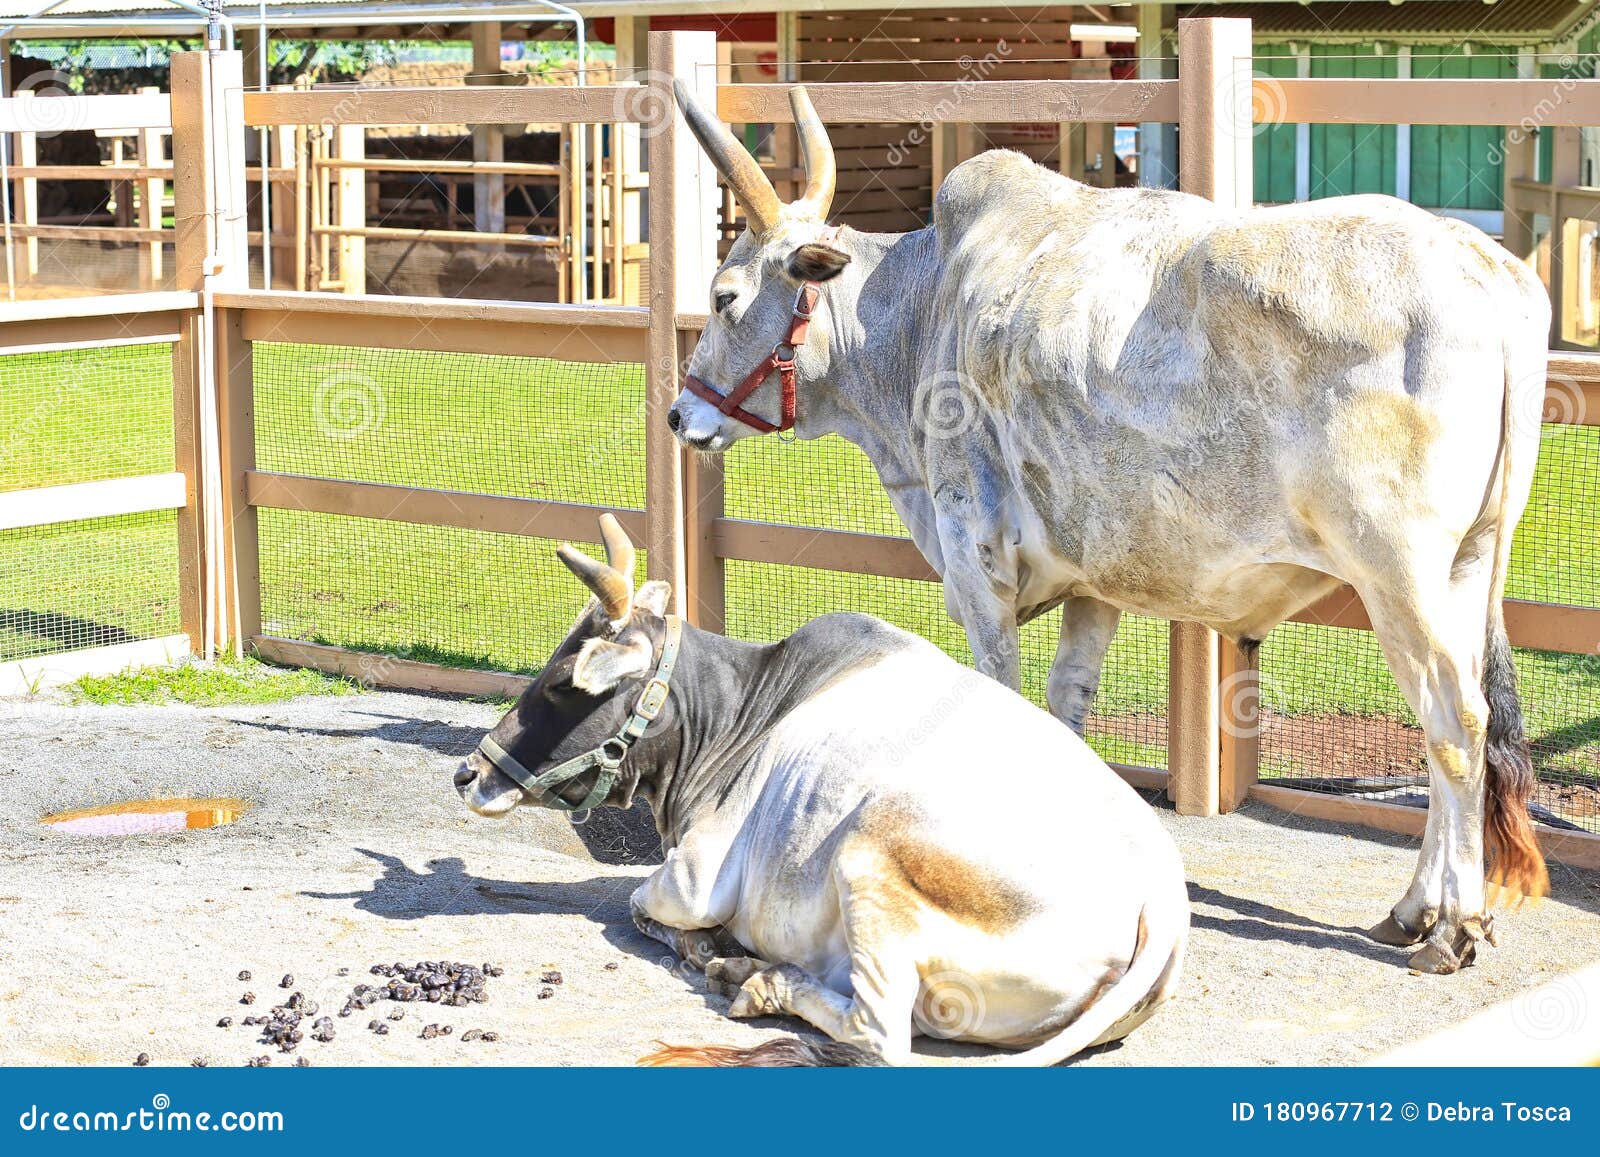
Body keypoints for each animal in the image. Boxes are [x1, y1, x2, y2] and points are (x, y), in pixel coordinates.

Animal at [454, 514, 1189, 1066]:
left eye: (562, 681)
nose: (468, 774)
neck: (739, 715)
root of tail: (1159, 897)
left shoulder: (694, 880)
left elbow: (639, 906)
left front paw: (710, 948)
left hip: (871, 855)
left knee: (878, 1035)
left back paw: (760, 980)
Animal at [664, 84, 1552, 975]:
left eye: (725, 296)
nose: (679, 413)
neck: (922, 312)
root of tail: (1484, 270)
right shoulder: (1095, 579)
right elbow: (1066, 706)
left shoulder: (974, 554)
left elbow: (1002, 691)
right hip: (1469, 565)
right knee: (1455, 728)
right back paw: (1413, 907)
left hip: (1398, 575)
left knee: (1457, 722)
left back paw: (1454, 926)